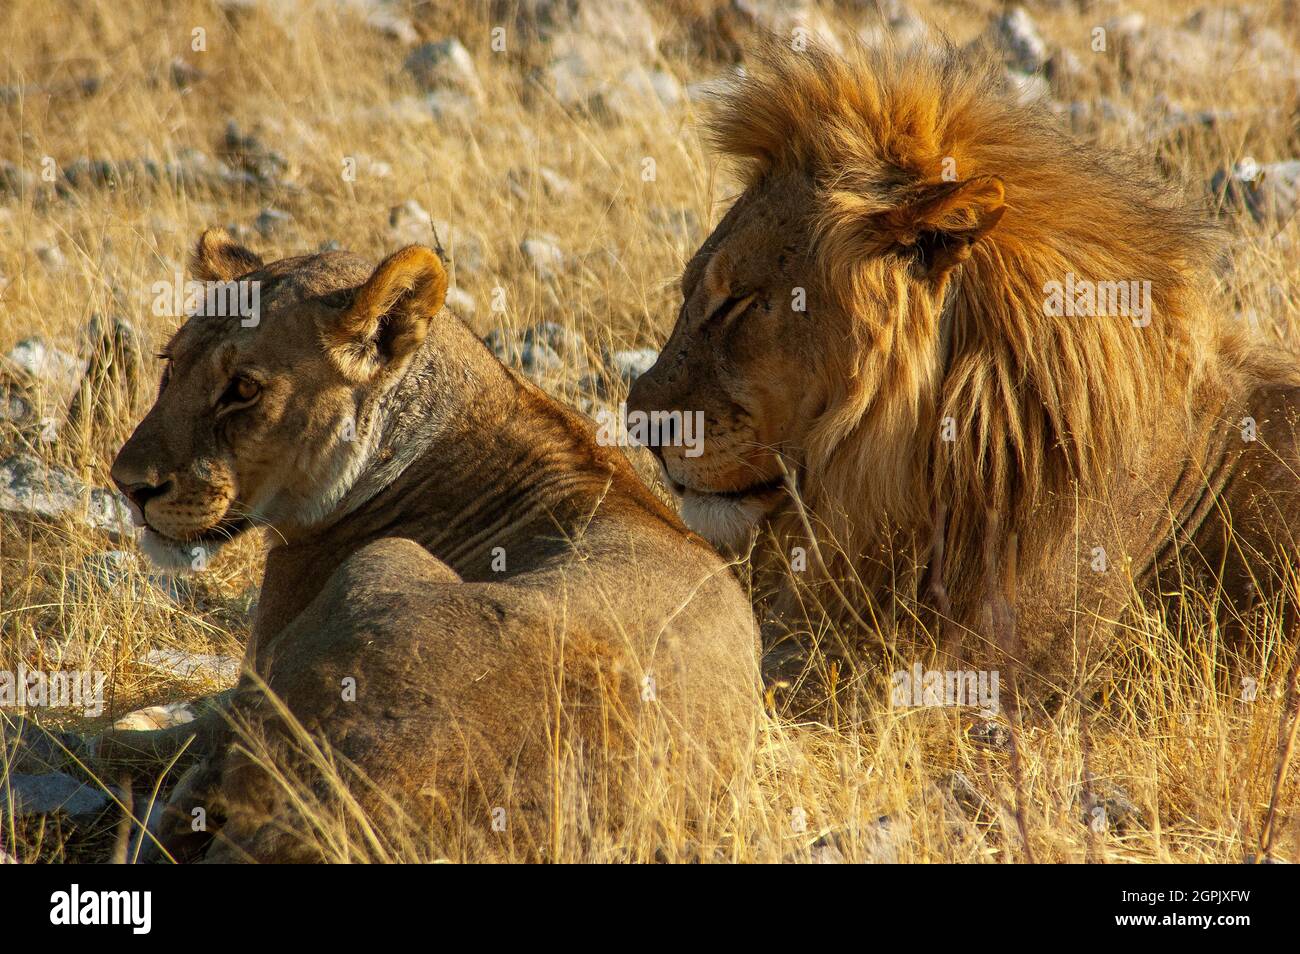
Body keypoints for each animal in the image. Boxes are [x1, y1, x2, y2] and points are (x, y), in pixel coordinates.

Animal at [101, 229, 759, 861]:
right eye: (169, 366)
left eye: (242, 389)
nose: (129, 486)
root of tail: (342, 816)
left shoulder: (257, 666)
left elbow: (186, 724)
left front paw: (127, 725)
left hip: (387, 561)